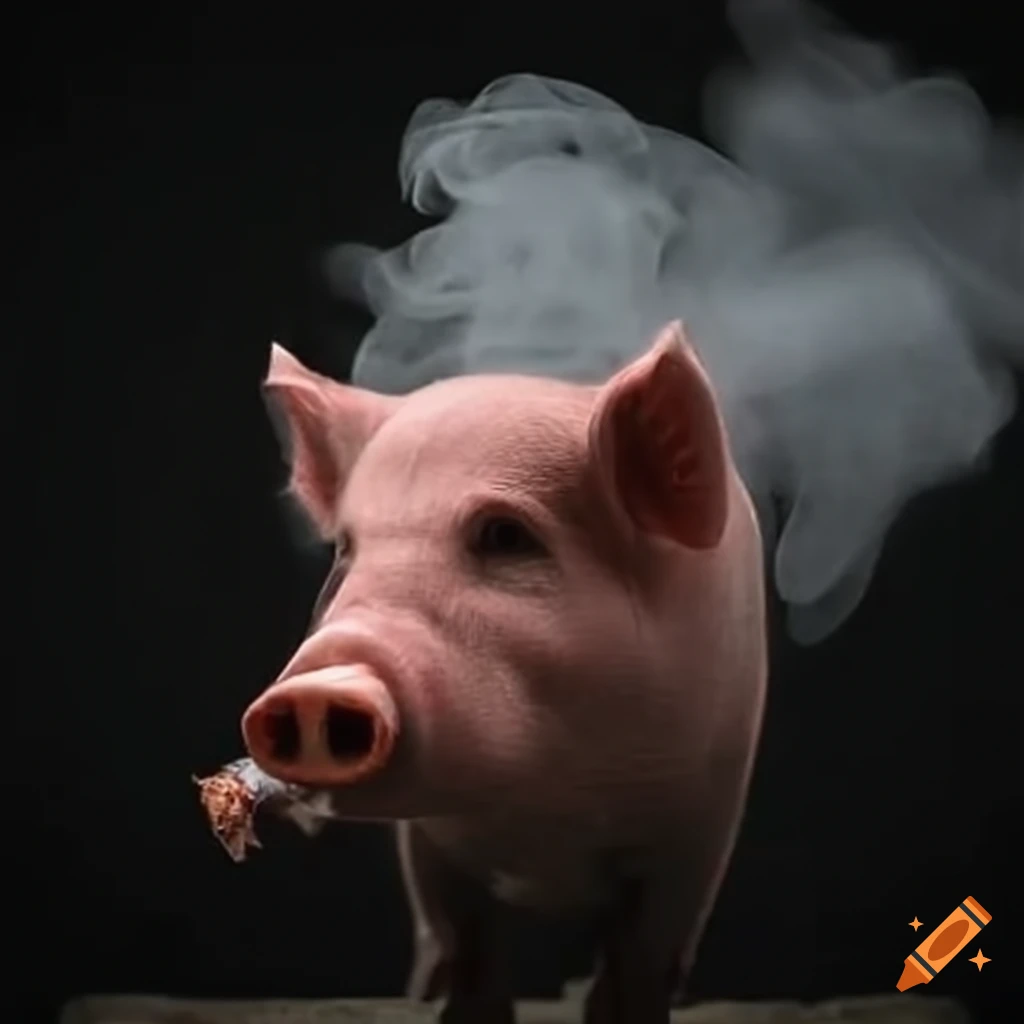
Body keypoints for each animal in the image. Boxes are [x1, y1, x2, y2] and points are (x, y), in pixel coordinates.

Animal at [240, 320, 767, 1024]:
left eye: (505, 536)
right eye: (346, 550)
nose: (322, 679)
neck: (544, 813)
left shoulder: (700, 826)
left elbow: (642, 955)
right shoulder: (428, 844)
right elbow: (463, 939)